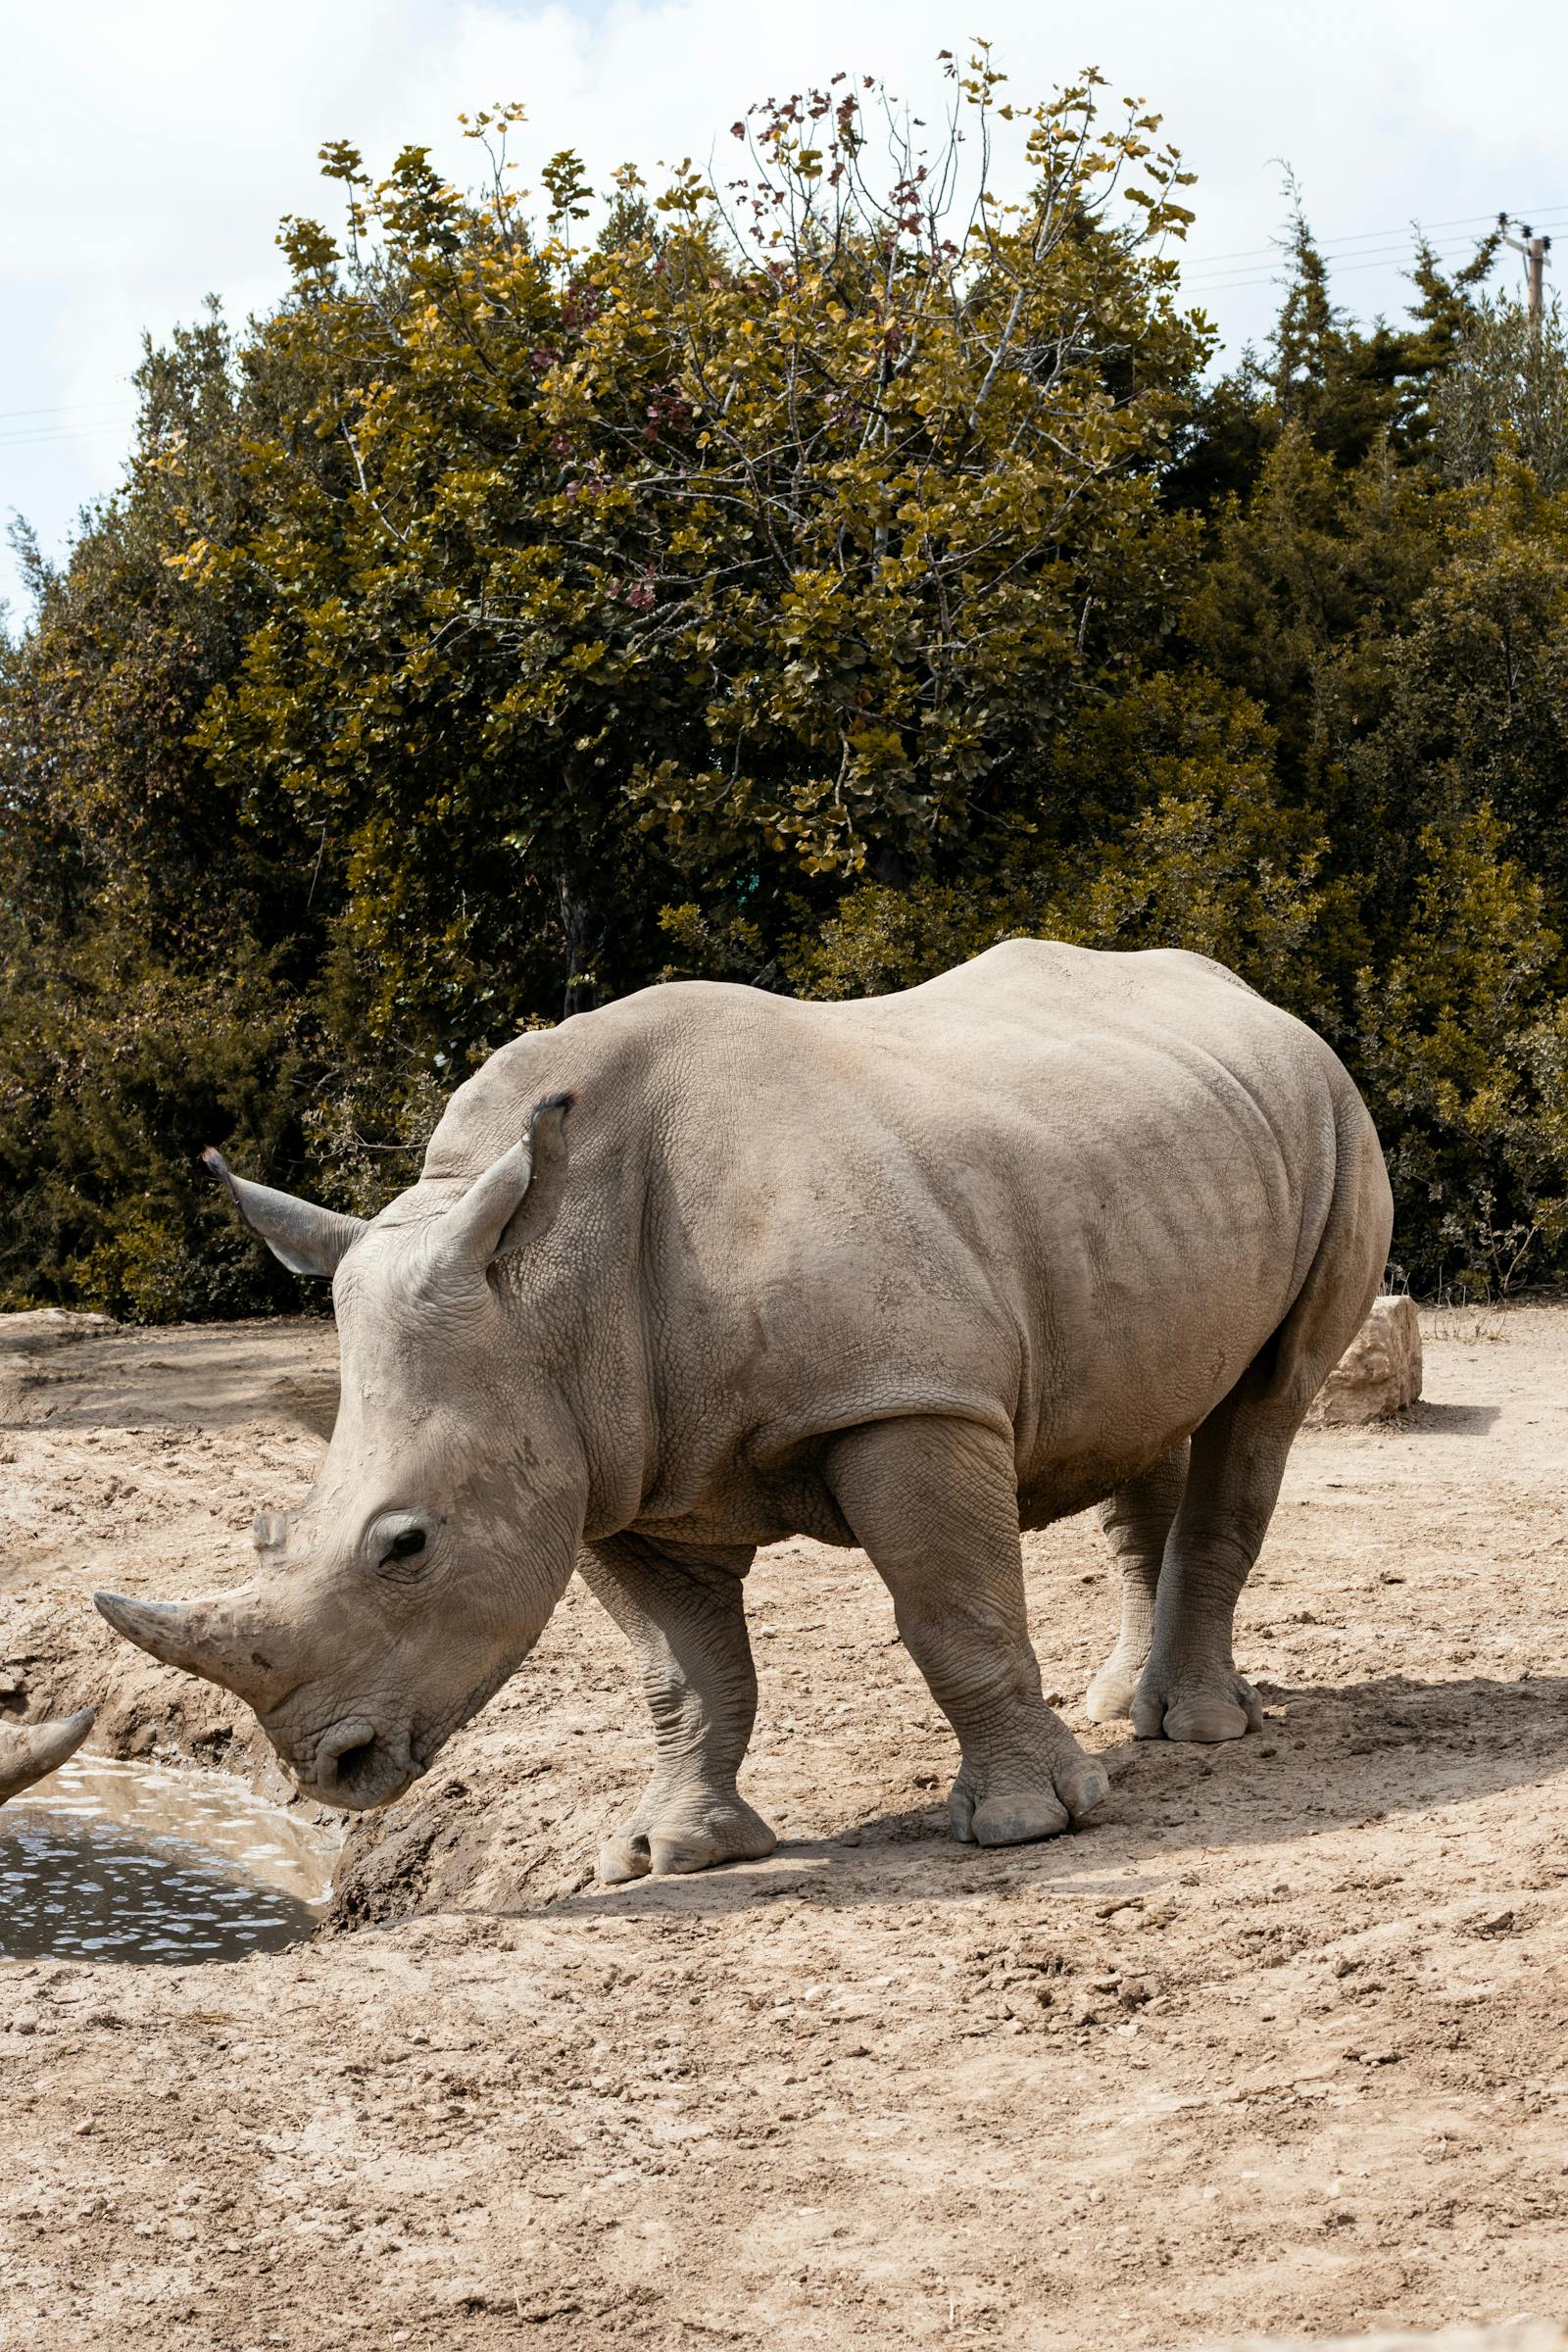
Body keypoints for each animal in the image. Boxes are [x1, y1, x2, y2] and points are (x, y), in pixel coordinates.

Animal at [95, 941, 1391, 1878]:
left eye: (405, 1547)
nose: (329, 1767)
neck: (544, 1289)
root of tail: (1254, 999)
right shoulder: (603, 1463)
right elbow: (684, 1671)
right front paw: (670, 1853)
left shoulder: (903, 1402)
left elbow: (954, 1615)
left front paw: (1028, 1826)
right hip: (1145, 1161)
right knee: (1148, 1411)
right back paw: (1123, 1708)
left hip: (1331, 1115)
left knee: (1263, 1405)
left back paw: (1196, 1732)